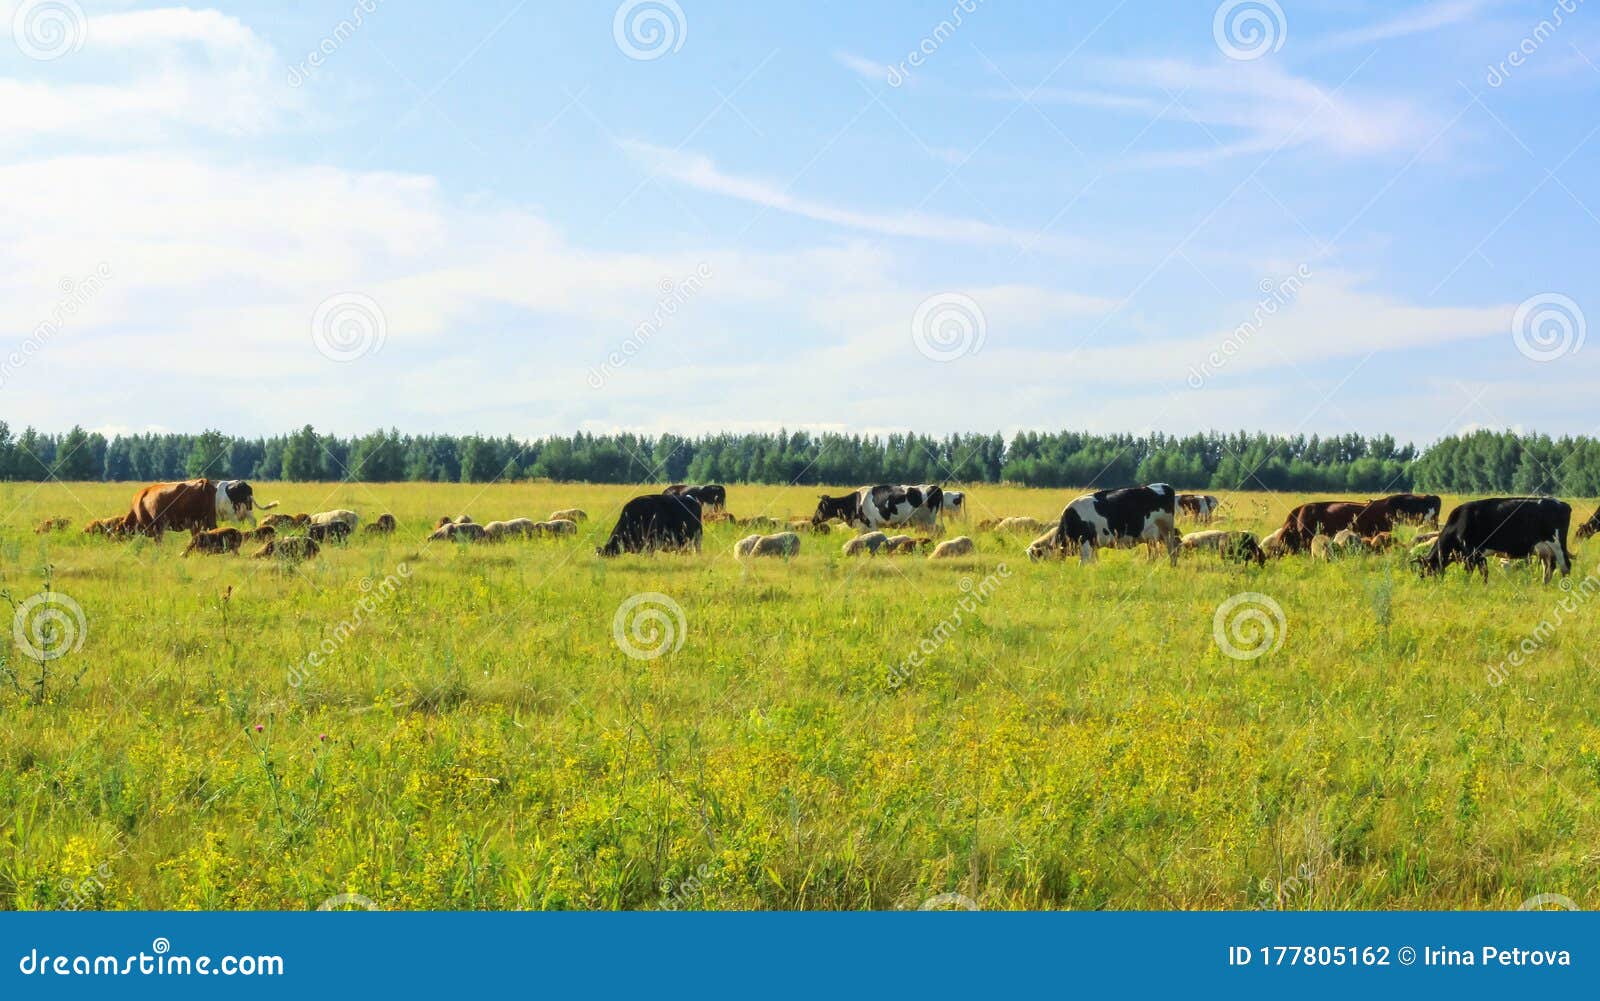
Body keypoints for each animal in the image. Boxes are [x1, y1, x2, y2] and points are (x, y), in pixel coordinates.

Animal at [1417, 497, 1573, 583]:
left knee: (1565, 566)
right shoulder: (1479, 555)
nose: (1427, 582)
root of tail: (1562, 503)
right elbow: (1484, 573)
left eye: (1428, 569)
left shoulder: (1470, 555)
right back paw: (1544, 585)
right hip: (1544, 549)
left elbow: (1468, 573)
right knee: (1549, 567)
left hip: (1558, 545)